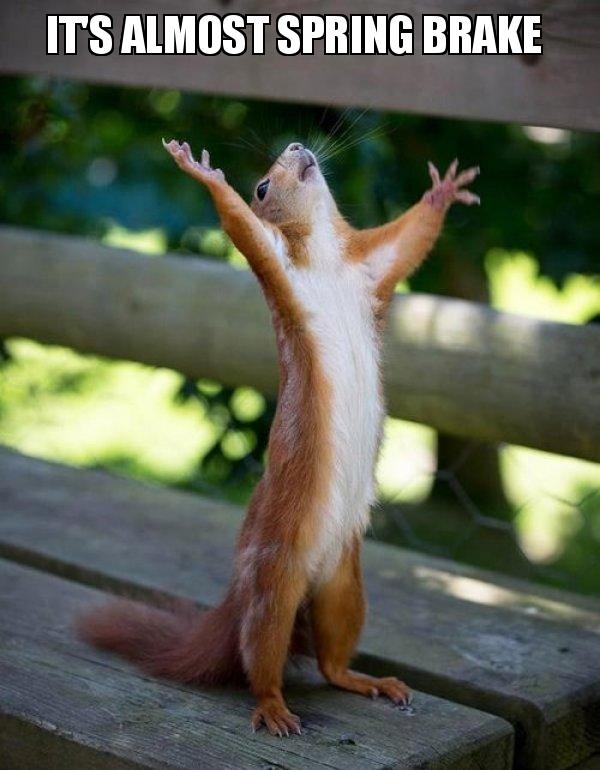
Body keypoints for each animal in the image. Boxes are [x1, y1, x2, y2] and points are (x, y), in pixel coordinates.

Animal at [79, 138, 479, 737]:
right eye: (262, 186)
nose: (296, 146)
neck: (327, 258)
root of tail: (239, 596)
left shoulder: (371, 267)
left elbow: (408, 241)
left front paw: (443, 191)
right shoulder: (277, 265)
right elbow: (241, 227)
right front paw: (204, 174)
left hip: (344, 586)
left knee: (332, 660)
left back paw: (367, 681)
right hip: (274, 583)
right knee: (261, 657)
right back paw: (273, 707)